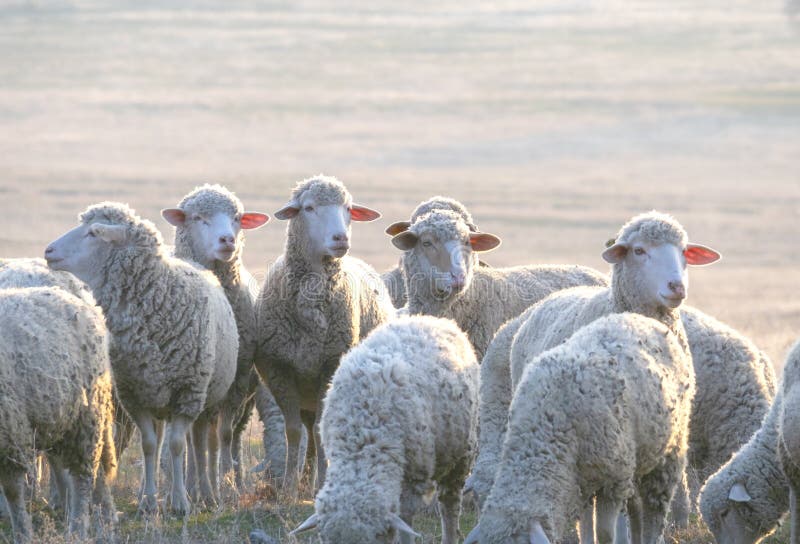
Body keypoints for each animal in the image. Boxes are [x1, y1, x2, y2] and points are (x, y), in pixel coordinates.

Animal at [45, 201, 239, 515]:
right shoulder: (134, 395)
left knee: (197, 443)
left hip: (205, 399)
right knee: (160, 441)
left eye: (93, 233)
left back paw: (203, 494)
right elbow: (149, 446)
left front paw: (180, 503)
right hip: (156, 395)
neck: (158, 300)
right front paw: (148, 501)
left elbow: (177, 446)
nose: (48, 251)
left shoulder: (187, 393)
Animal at [161, 184, 286, 492]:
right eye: (197, 218)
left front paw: (226, 484)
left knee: (229, 435)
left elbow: (225, 434)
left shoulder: (237, 379)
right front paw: (193, 485)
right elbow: (192, 437)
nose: (227, 239)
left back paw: (233, 478)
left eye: (237, 218)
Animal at [253, 175, 395, 498]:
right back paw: (305, 476)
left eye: (348, 208)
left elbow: (320, 430)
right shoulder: (279, 368)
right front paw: (289, 488)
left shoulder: (330, 364)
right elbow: (293, 430)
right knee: (307, 426)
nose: (340, 239)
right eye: (309, 207)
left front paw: (320, 484)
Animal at [464, 312, 694, 544]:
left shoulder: (614, 480)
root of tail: (638, 317)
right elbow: (585, 523)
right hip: (639, 457)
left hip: (669, 452)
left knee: (655, 512)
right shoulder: (579, 480)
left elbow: (604, 532)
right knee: (636, 507)